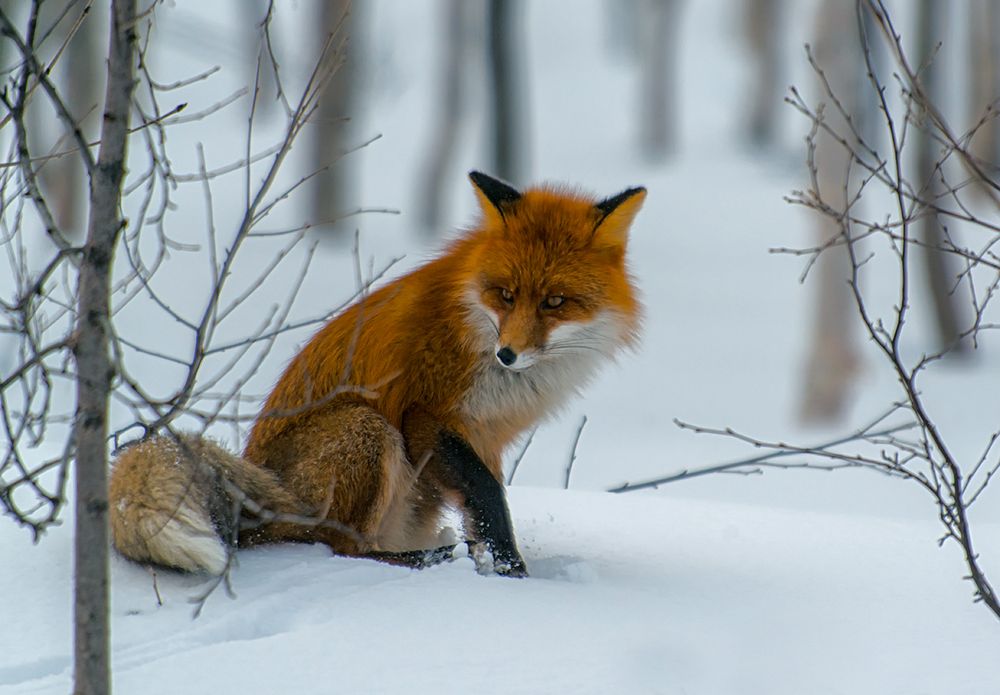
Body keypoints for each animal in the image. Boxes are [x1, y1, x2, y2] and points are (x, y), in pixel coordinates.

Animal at [109, 171, 645, 578]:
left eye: (555, 301)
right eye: (506, 295)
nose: (507, 355)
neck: (476, 326)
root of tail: (266, 490)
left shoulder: (486, 435)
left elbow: (485, 502)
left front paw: (491, 558)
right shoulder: (426, 411)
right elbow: (489, 494)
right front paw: (510, 570)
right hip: (367, 429)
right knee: (342, 549)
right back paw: (421, 559)